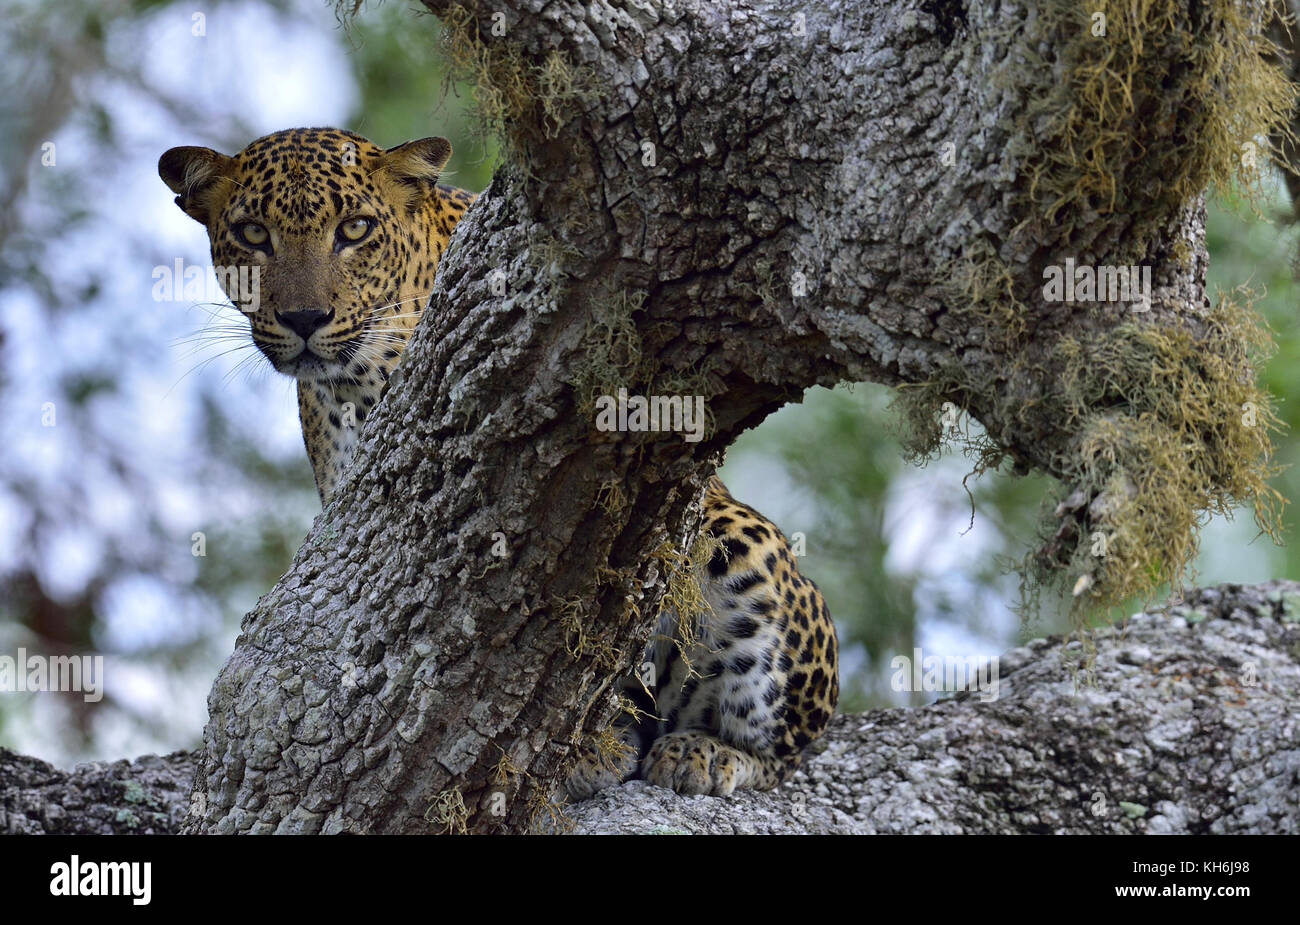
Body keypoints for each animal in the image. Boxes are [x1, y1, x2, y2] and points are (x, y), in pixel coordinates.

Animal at [159, 126, 839, 800]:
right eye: (253, 234)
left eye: (354, 229)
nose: (304, 319)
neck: (355, 381)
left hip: (743, 544)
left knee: (782, 750)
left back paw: (698, 751)